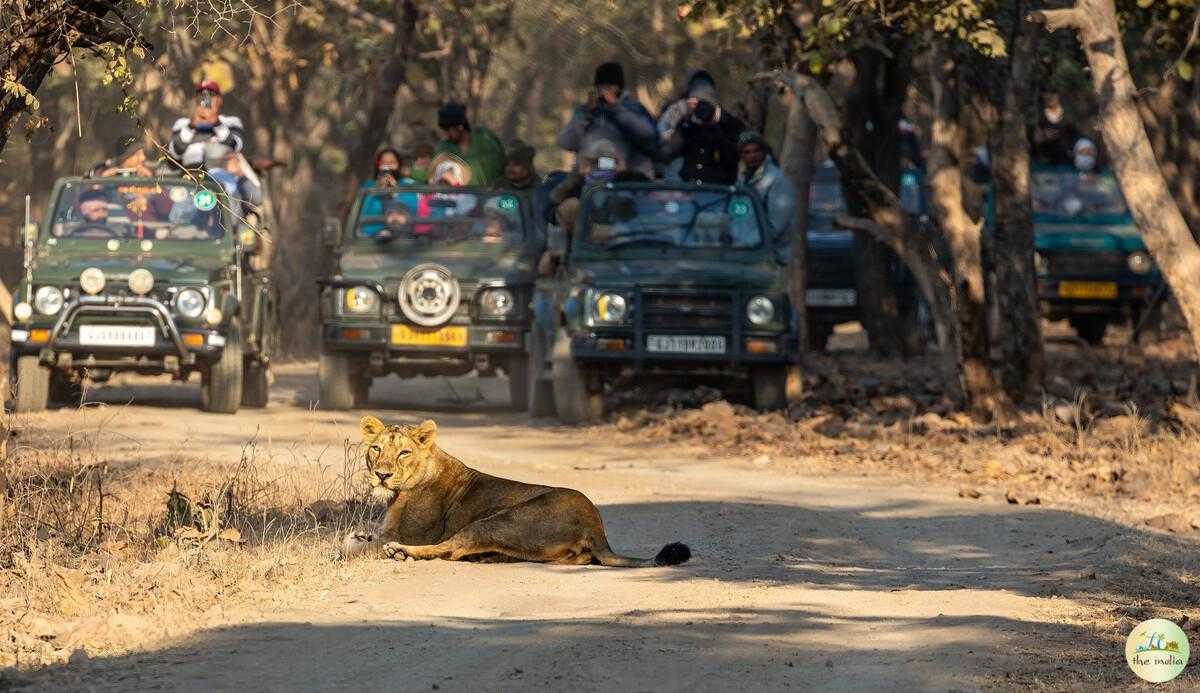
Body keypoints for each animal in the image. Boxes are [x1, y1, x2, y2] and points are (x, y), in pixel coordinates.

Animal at [343, 416, 691, 567]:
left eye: (403, 453)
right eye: (376, 449)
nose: (382, 475)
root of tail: (596, 526)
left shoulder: (413, 533)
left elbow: (361, 545)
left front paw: (357, 546)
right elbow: (357, 533)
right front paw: (358, 536)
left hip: (497, 521)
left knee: (451, 548)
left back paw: (403, 553)